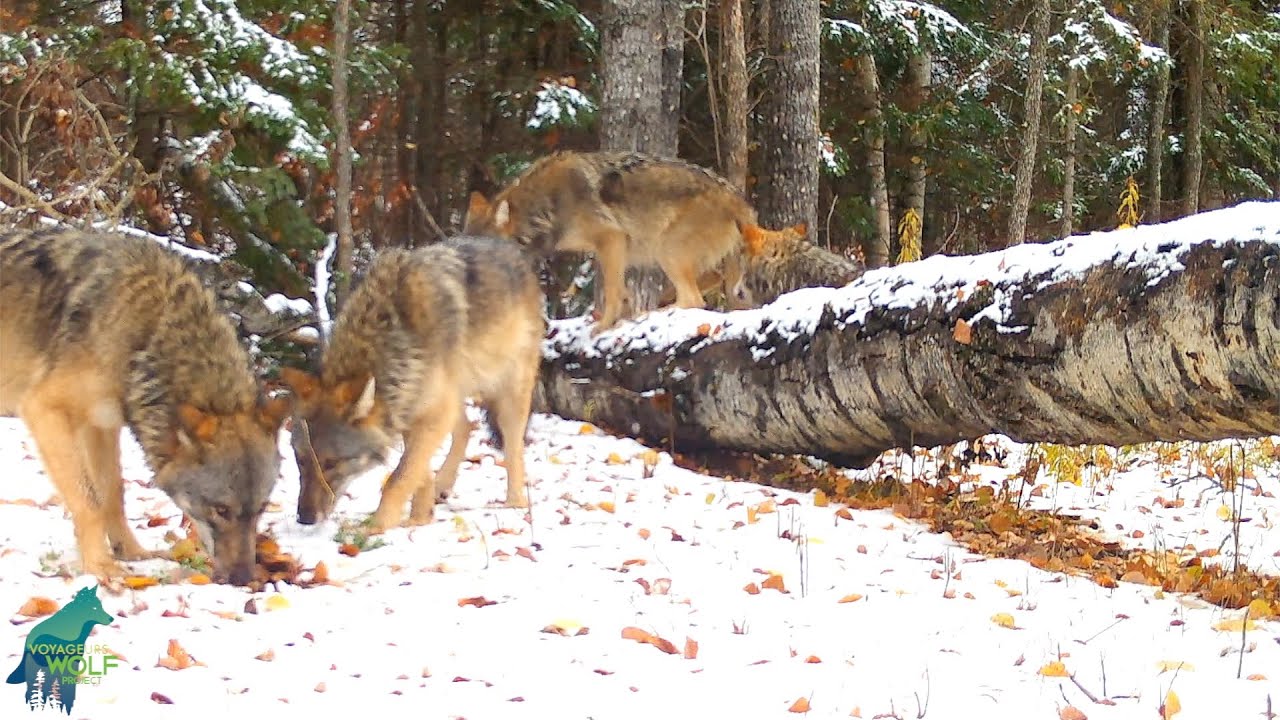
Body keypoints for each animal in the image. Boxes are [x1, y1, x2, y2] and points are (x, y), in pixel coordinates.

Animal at [0, 227, 289, 586]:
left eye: (261, 508)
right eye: (221, 510)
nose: (244, 578)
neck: (150, 332)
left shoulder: (102, 424)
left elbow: (112, 495)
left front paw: (132, 553)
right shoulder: (45, 409)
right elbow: (89, 500)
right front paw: (101, 567)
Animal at [280, 234, 545, 532]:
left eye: (330, 463)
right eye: (301, 460)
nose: (304, 518)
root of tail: (513, 250)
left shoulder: (429, 414)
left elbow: (398, 478)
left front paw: (377, 528)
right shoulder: (409, 410)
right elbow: (417, 472)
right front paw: (420, 518)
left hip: (507, 394)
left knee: (513, 446)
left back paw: (515, 502)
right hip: (453, 396)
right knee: (466, 428)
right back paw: (443, 486)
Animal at [463, 150, 771, 331]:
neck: (547, 205)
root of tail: (742, 202)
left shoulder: (611, 239)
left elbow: (611, 293)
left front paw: (603, 327)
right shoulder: (608, 251)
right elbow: (620, 292)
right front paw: (619, 317)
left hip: (666, 251)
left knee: (693, 300)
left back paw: (651, 314)